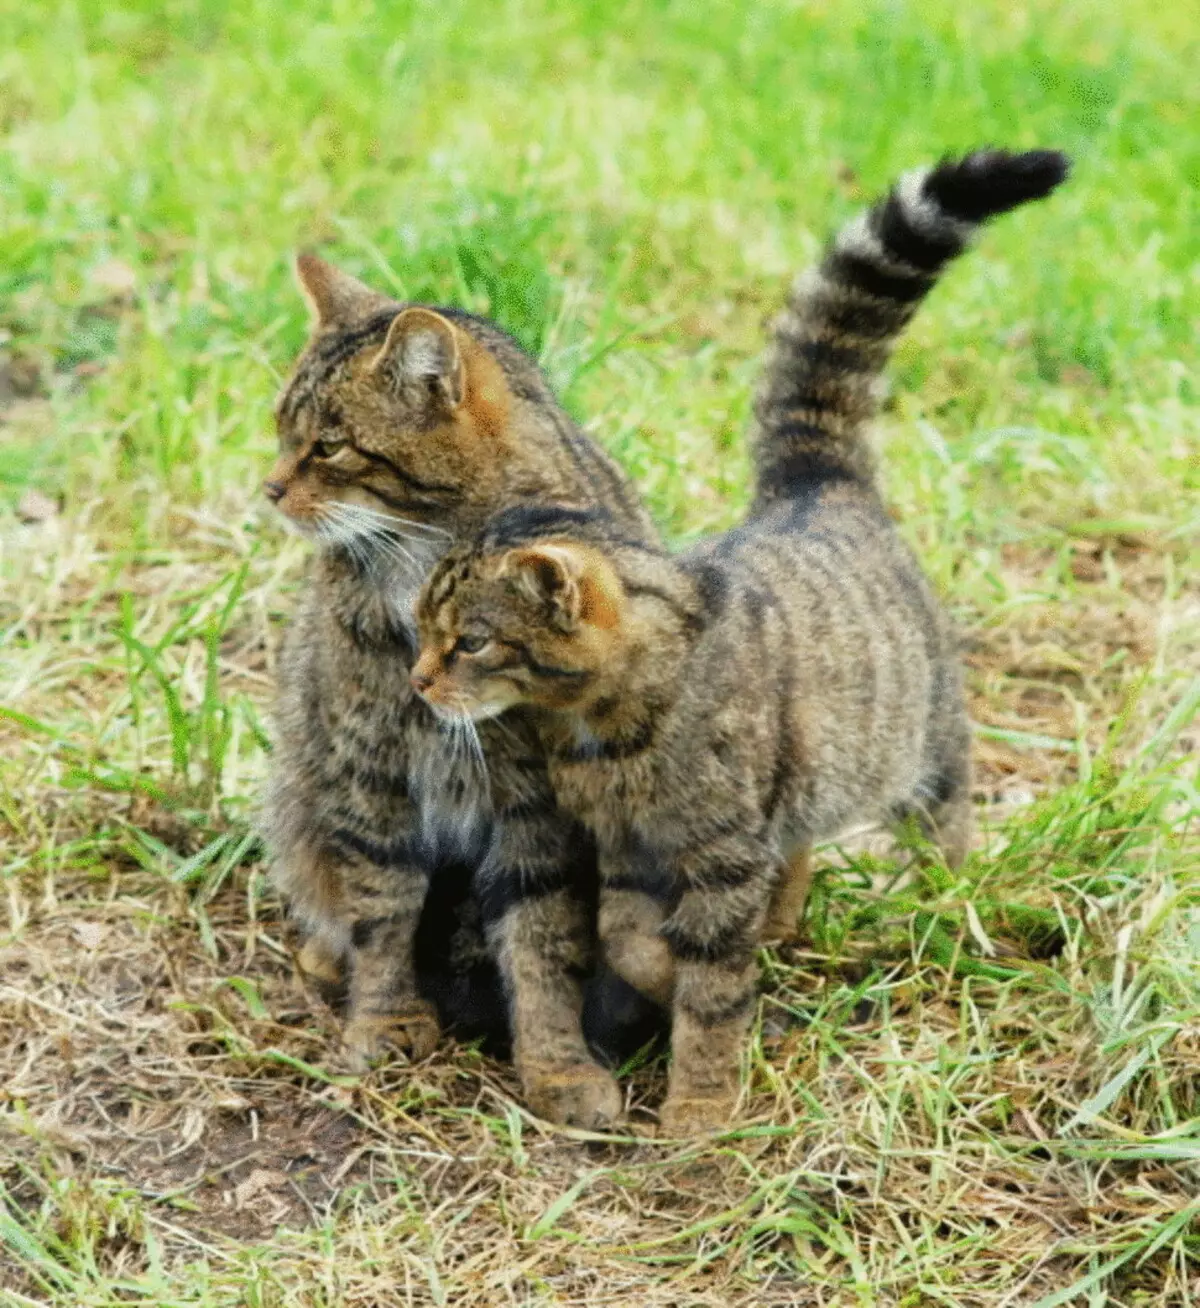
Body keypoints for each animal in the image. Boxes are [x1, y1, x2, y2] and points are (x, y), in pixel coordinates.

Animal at [257, 255, 659, 1124]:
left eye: (328, 445)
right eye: (280, 431)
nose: (268, 488)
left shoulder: (536, 801)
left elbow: (542, 939)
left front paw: (556, 1065)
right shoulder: (370, 772)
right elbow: (381, 911)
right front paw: (382, 1019)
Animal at [410, 150, 1067, 1135]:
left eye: (474, 642)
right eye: (420, 630)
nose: (417, 681)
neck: (603, 730)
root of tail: (816, 484)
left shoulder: (719, 851)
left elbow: (713, 987)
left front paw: (702, 1104)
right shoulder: (633, 853)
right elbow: (632, 941)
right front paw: (679, 975)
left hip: (927, 754)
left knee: (944, 830)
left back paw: (939, 902)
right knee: (795, 849)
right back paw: (785, 920)